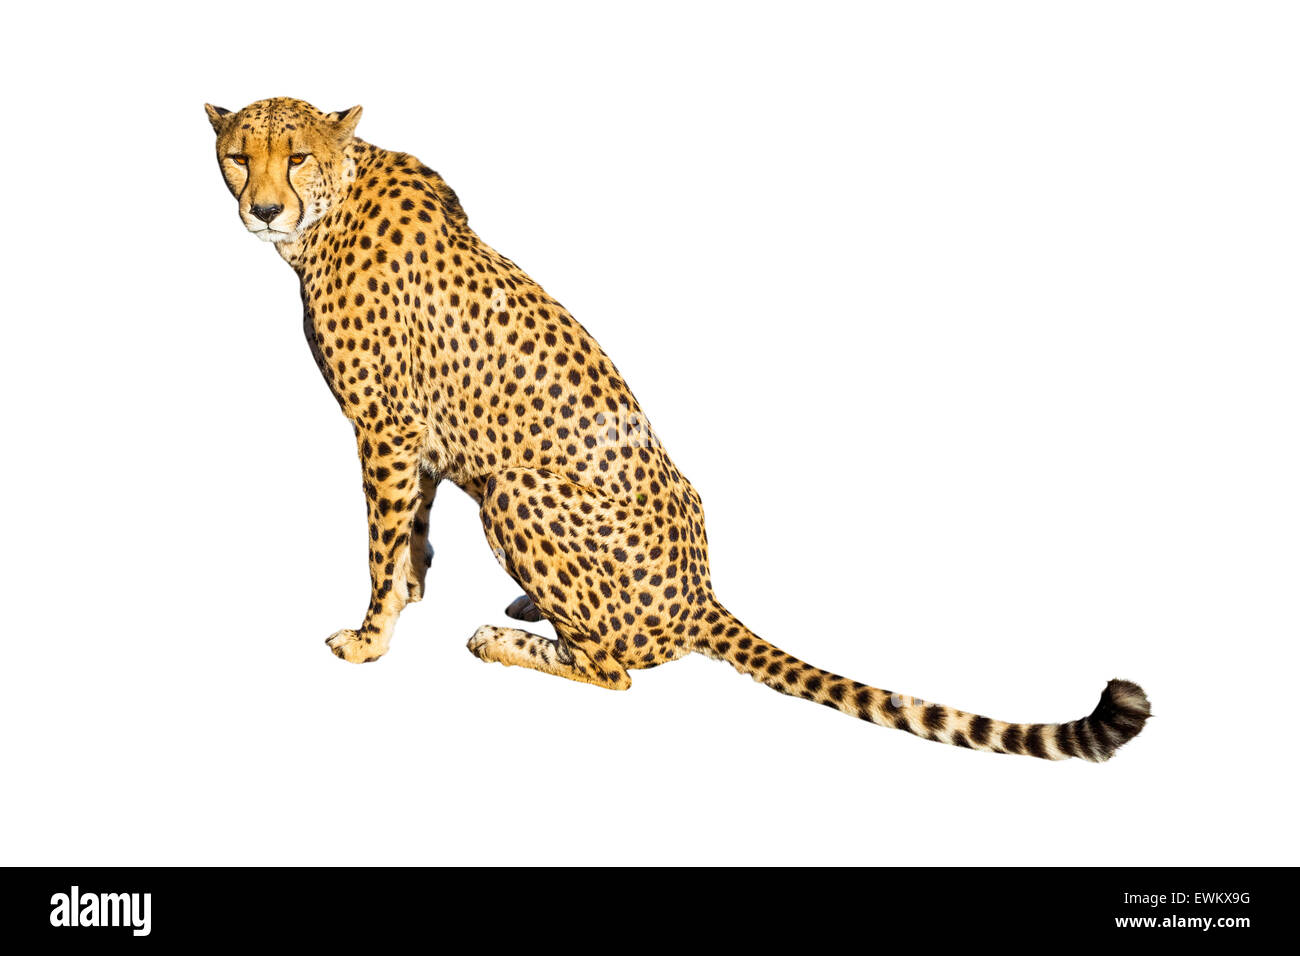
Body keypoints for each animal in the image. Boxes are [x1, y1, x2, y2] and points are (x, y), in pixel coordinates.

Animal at [206, 97, 1151, 760]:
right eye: (237, 157)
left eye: (296, 156)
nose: (263, 210)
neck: (331, 207)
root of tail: (699, 597)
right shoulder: (419, 440)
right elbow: (412, 533)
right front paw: (411, 591)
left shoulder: (386, 430)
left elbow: (379, 543)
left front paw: (370, 637)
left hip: (517, 489)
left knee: (616, 670)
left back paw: (504, 637)